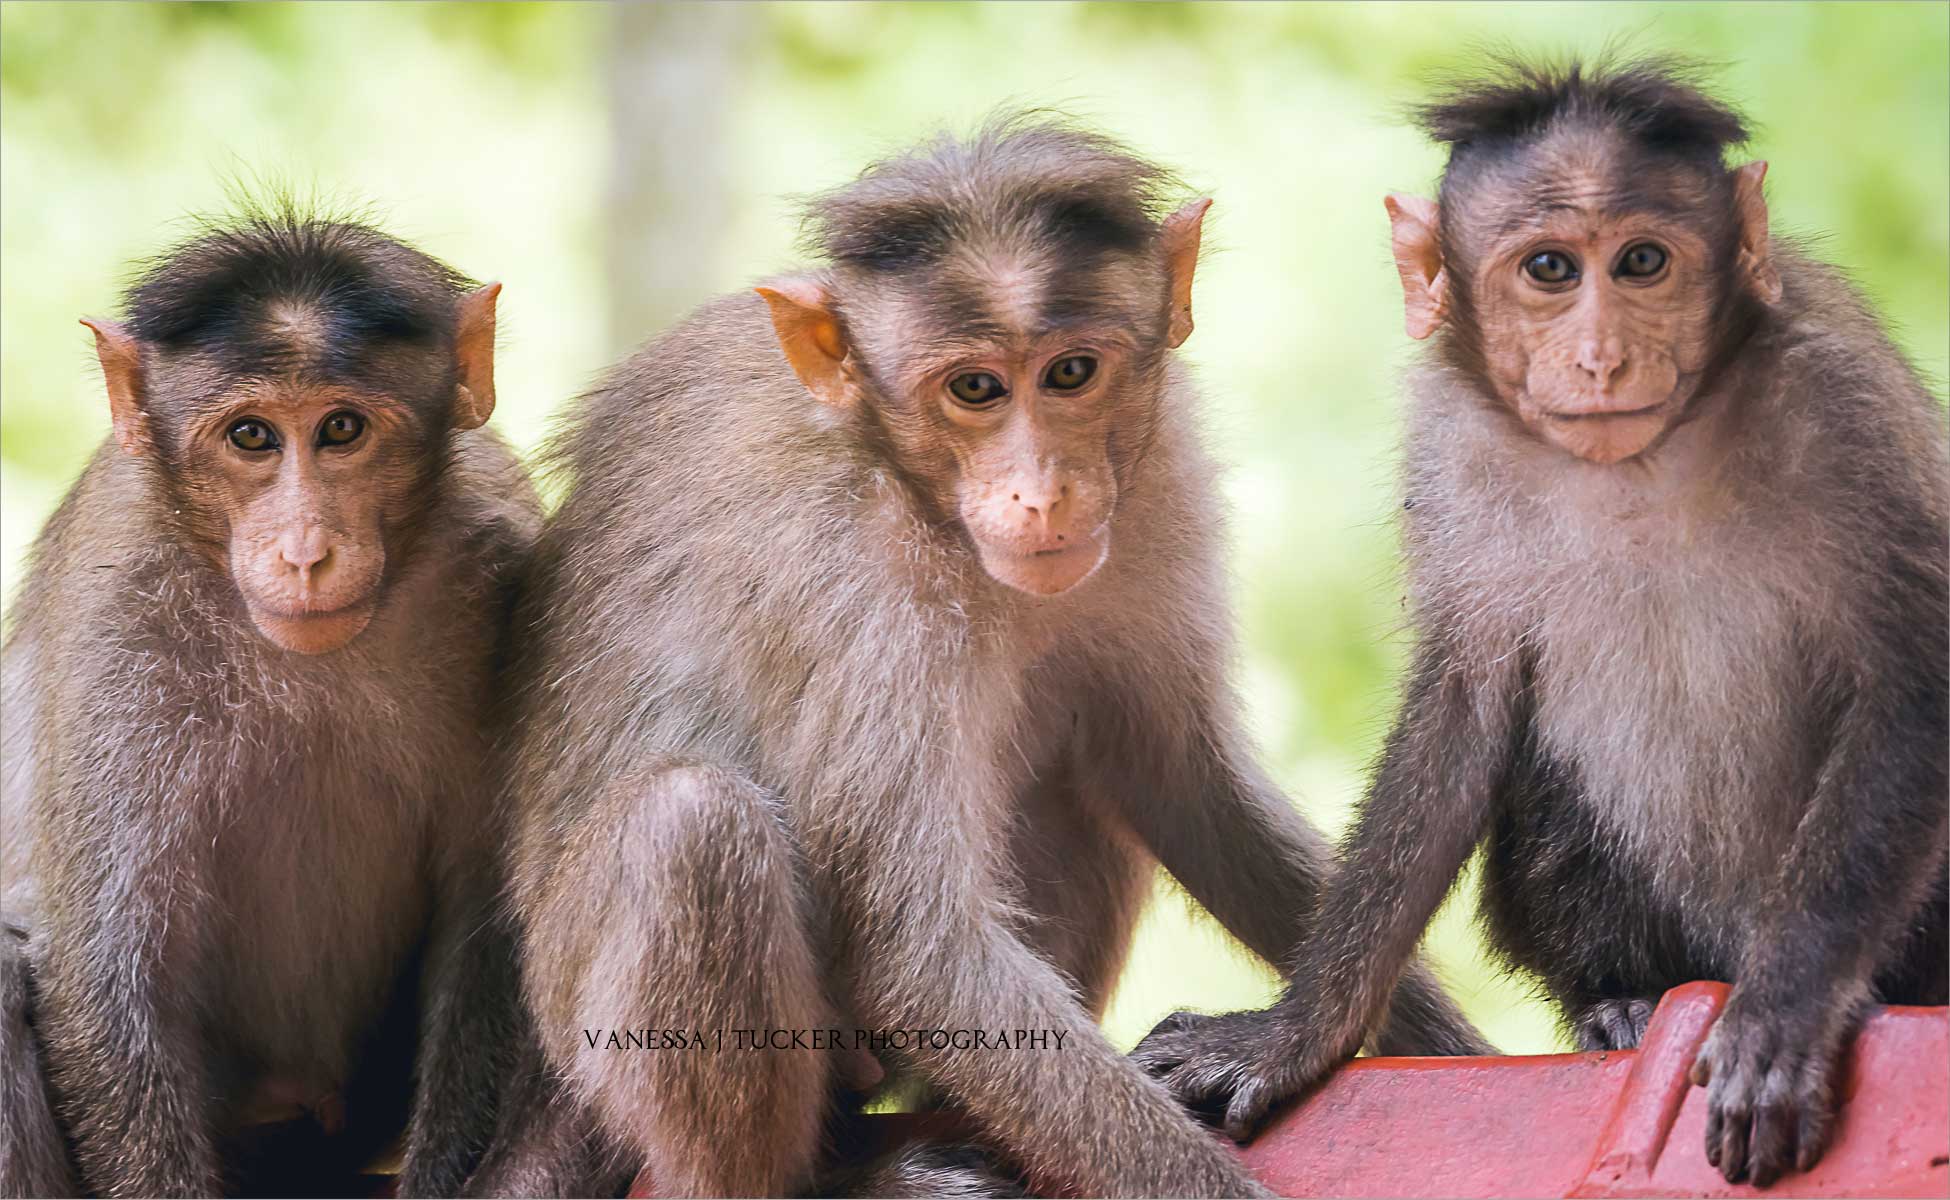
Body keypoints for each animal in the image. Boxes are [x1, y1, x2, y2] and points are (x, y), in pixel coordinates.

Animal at [0, 205, 541, 1197]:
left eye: (341, 428)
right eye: (251, 438)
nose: (304, 552)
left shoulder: (509, 558)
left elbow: (487, 931)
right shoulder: (115, 618)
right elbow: (109, 977)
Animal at [475, 115, 1491, 1200]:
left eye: (1071, 374)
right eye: (974, 389)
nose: (1042, 494)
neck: (914, 488)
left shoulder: (1158, 479)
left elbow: (1178, 781)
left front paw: (1302, 1037)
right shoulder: (866, 584)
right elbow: (919, 950)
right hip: (586, 1023)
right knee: (691, 823)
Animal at [1131, 57, 1950, 1190]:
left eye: (1643, 263)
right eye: (1551, 270)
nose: (1602, 358)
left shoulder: (1842, 402)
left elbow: (1913, 682)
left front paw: (1784, 1015)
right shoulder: (1450, 445)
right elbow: (1463, 707)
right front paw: (1297, 1031)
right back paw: (1626, 1001)